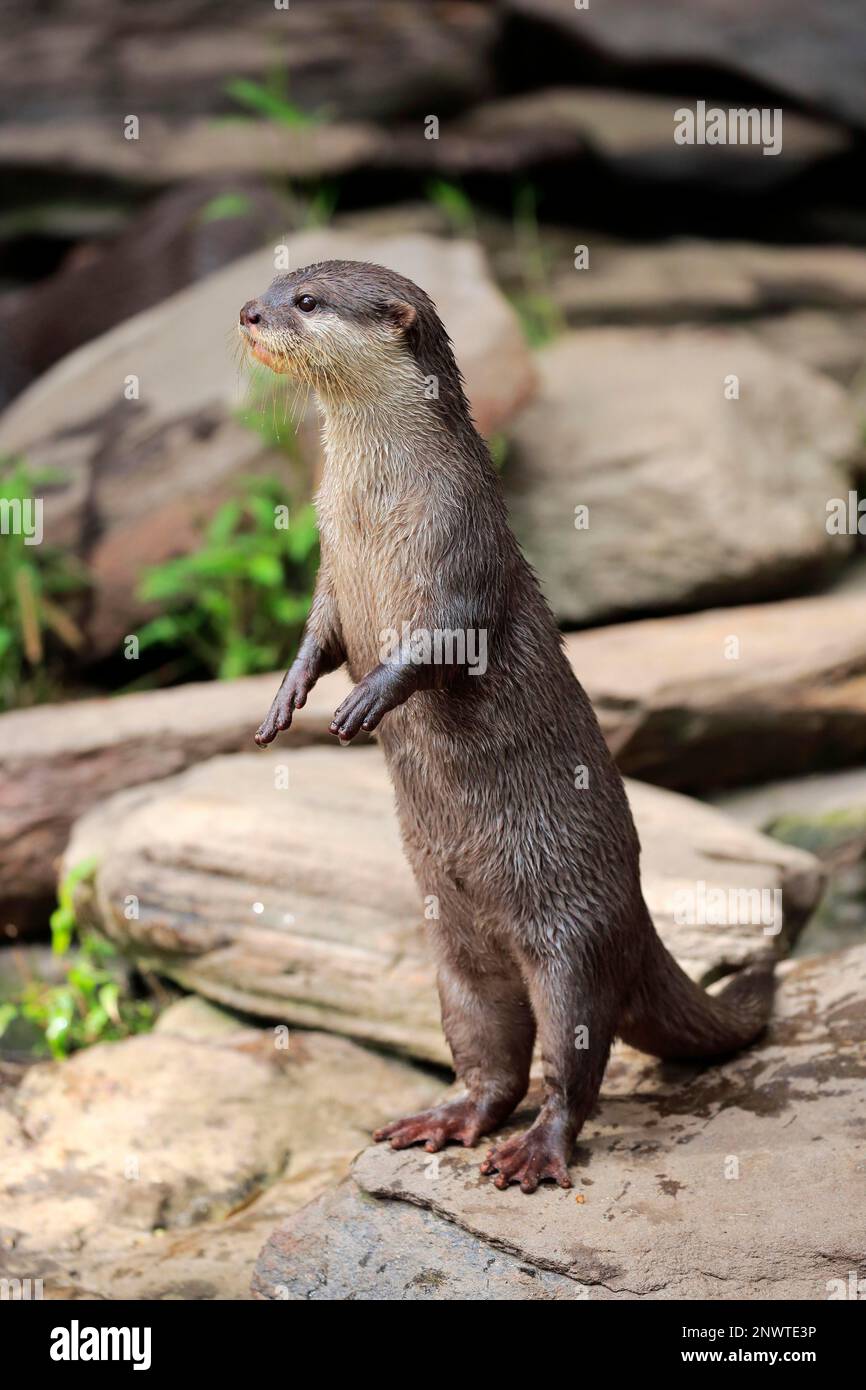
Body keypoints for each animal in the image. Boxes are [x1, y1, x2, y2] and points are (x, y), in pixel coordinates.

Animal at [240, 260, 774, 1193]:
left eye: (305, 302)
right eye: (274, 282)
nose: (246, 312)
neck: (371, 508)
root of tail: (640, 921)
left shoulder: (463, 544)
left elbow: (444, 639)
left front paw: (369, 698)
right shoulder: (330, 567)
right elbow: (317, 635)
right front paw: (285, 698)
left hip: (574, 943)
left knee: (570, 1065)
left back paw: (535, 1154)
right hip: (457, 960)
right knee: (493, 1063)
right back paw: (447, 1119)